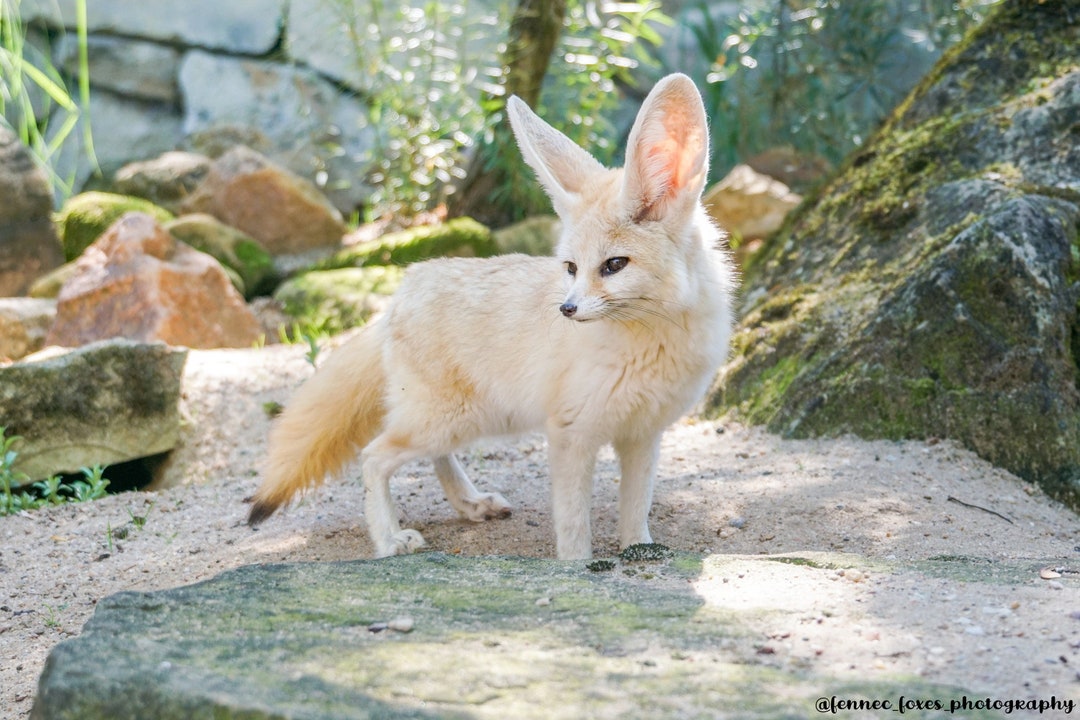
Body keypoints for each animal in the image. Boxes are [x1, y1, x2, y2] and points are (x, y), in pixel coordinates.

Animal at [247, 73, 736, 560]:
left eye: (614, 265)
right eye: (571, 267)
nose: (567, 309)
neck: (653, 343)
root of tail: (403, 289)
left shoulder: (642, 434)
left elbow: (636, 510)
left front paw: (640, 550)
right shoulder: (571, 433)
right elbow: (573, 526)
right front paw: (577, 566)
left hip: (471, 421)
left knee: (431, 457)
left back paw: (469, 503)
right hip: (447, 421)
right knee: (373, 457)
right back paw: (388, 539)